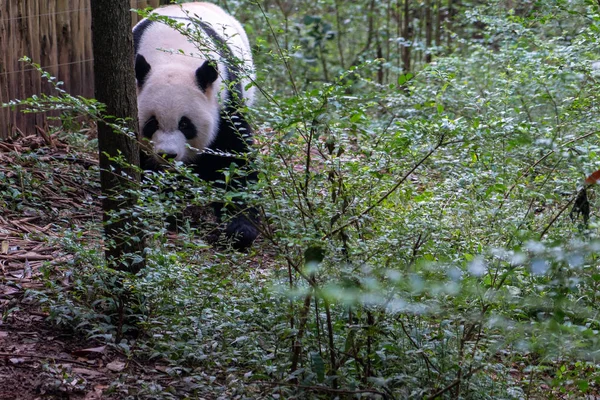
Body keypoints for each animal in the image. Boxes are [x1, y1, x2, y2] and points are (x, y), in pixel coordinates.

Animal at [133, 1, 258, 248]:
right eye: (152, 123)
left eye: (185, 124)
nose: (168, 154)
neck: (172, 55)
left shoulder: (225, 100)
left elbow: (233, 158)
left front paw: (241, 230)